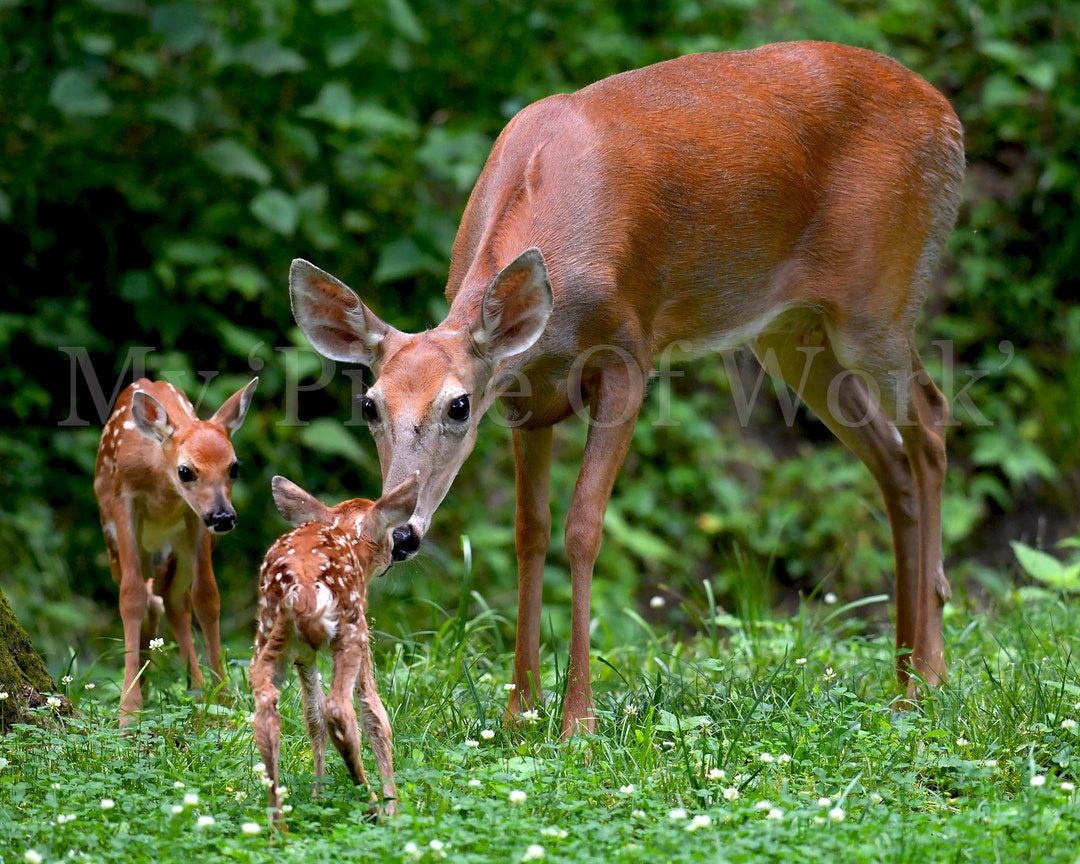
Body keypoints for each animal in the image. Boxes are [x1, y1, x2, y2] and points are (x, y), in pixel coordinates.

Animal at [94, 376, 258, 726]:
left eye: (234, 468)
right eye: (186, 471)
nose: (223, 517)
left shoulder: (194, 519)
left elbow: (207, 597)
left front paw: (224, 698)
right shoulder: (122, 501)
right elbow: (130, 597)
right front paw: (128, 712)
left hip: (181, 546)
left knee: (173, 600)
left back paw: (195, 689)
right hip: (114, 542)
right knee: (150, 596)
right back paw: (149, 681)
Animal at [249, 472, 419, 830]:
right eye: (389, 533)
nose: (396, 552)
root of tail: (300, 591)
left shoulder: (304, 654)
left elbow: (312, 719)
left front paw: (318, 795)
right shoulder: (363, 636)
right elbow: (375, 716)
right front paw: (394, 806)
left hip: (269, 634)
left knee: (268, 709)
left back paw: (278, 827)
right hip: (350, 631)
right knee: (339, 708)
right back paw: (372, 804)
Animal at [288, 41, 965, 737]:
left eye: (459, 404)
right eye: (369, 405)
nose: (399, 535)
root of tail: (945, 112)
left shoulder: (628, 358)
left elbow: (584, 525)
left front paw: (577, 718)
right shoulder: (526, 397)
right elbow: (529, 531)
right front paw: (519, 709)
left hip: (879, 303)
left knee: (931, 418)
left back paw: (929, 675)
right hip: (791, 333)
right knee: (890, 455)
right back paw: (902, 671)